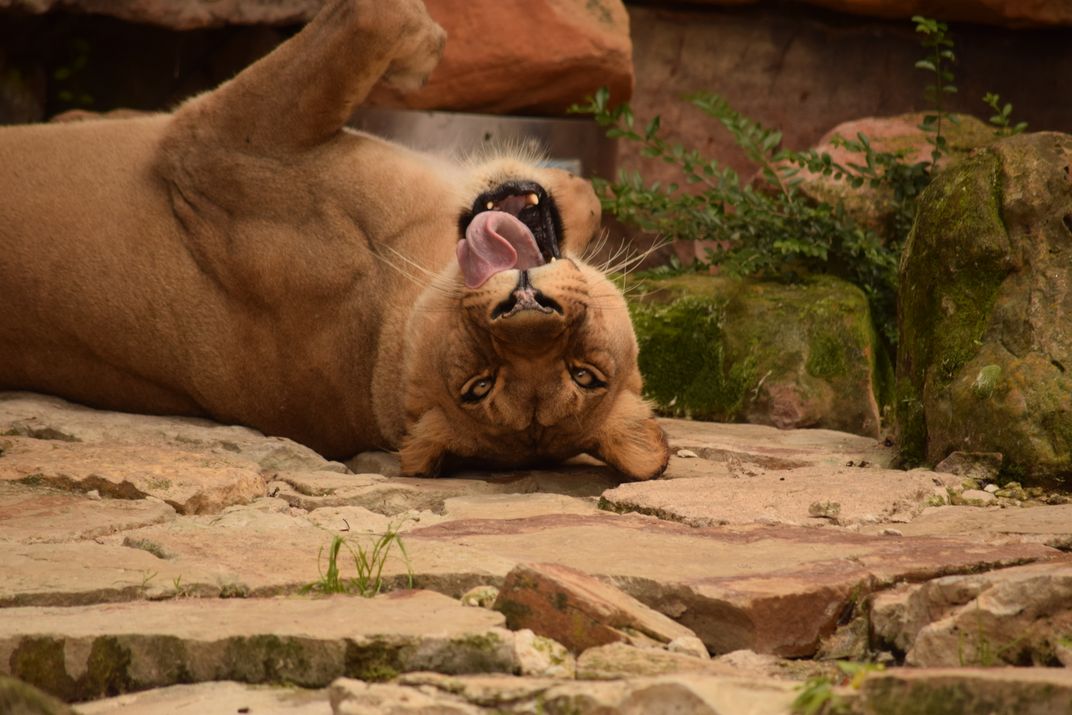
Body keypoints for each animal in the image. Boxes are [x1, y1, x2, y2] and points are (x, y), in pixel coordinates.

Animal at [0, 0, 669, 480]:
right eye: (587, 375)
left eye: (480, 387)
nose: (527, 305)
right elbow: (585, 195)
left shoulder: (206, 147)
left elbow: (372, 14)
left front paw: (423, 50)